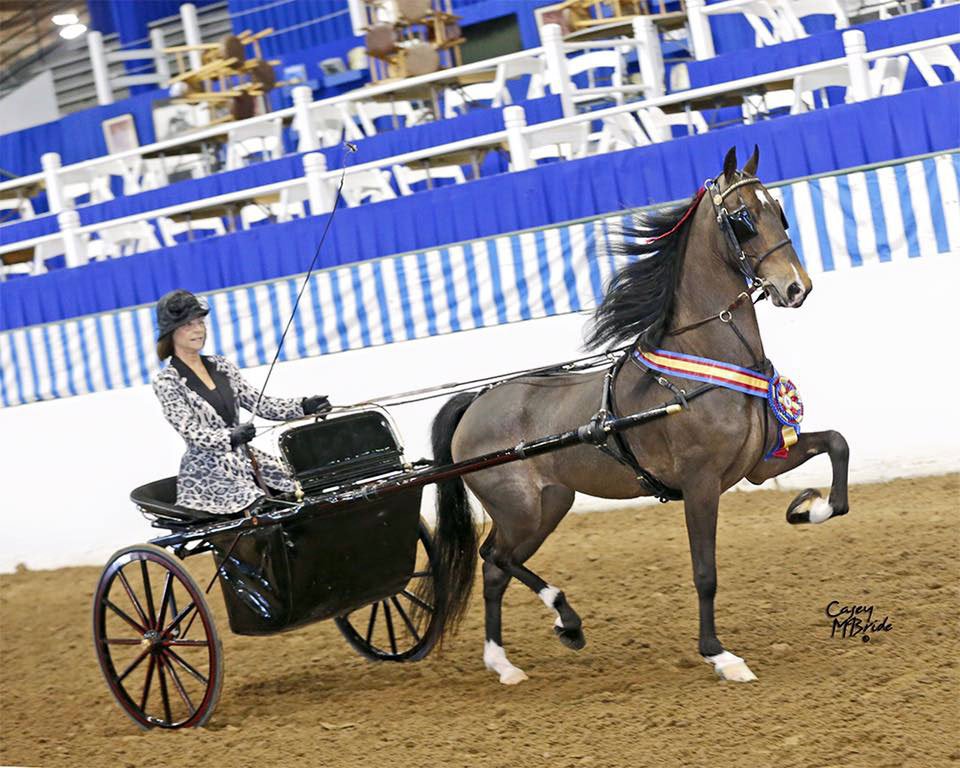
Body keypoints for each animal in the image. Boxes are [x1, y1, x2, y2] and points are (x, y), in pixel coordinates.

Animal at [423, 146, 850, 684]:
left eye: (780, 211)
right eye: (743, 218)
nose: (797, 287)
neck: (700, 362)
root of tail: (476, 403)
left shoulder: (760, 464)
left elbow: (837, 444)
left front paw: (809, 508)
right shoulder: (700, 484)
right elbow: (705, 572)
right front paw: (719, 655)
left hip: (550, 504)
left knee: (496, 568)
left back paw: (506, 662)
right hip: (521, 510)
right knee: (494, 557)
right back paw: (564, 620)